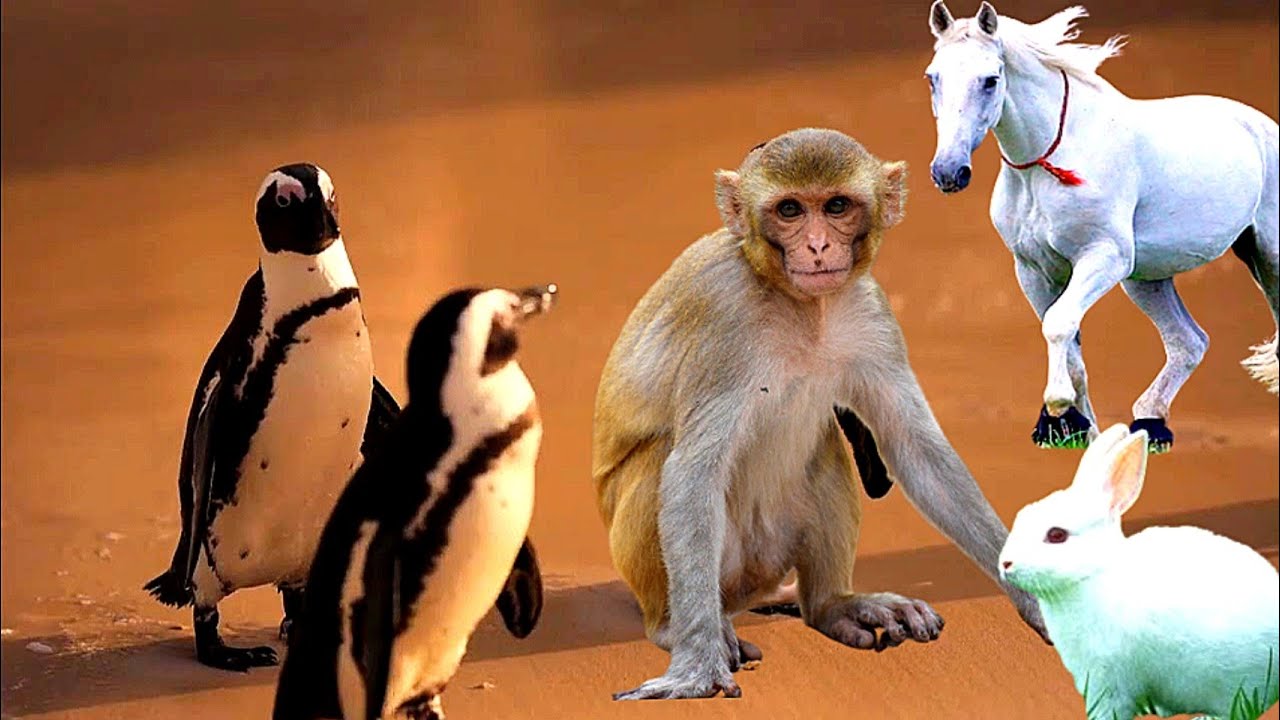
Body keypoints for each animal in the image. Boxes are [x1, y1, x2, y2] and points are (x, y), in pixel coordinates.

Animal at [924, 1, 1278, 452]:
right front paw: (1078, 429)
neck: (1050, 162)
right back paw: (1150, 425)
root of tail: (1260, 126)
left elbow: (1059, 323)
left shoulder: (1103, 257)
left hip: (1267, 256)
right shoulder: (1033, 270)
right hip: (1146, 279)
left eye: (990, 79)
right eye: (933, 77)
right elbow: (1070, 347)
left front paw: (1058, 408)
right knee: (1188, 342)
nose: (949, 172)